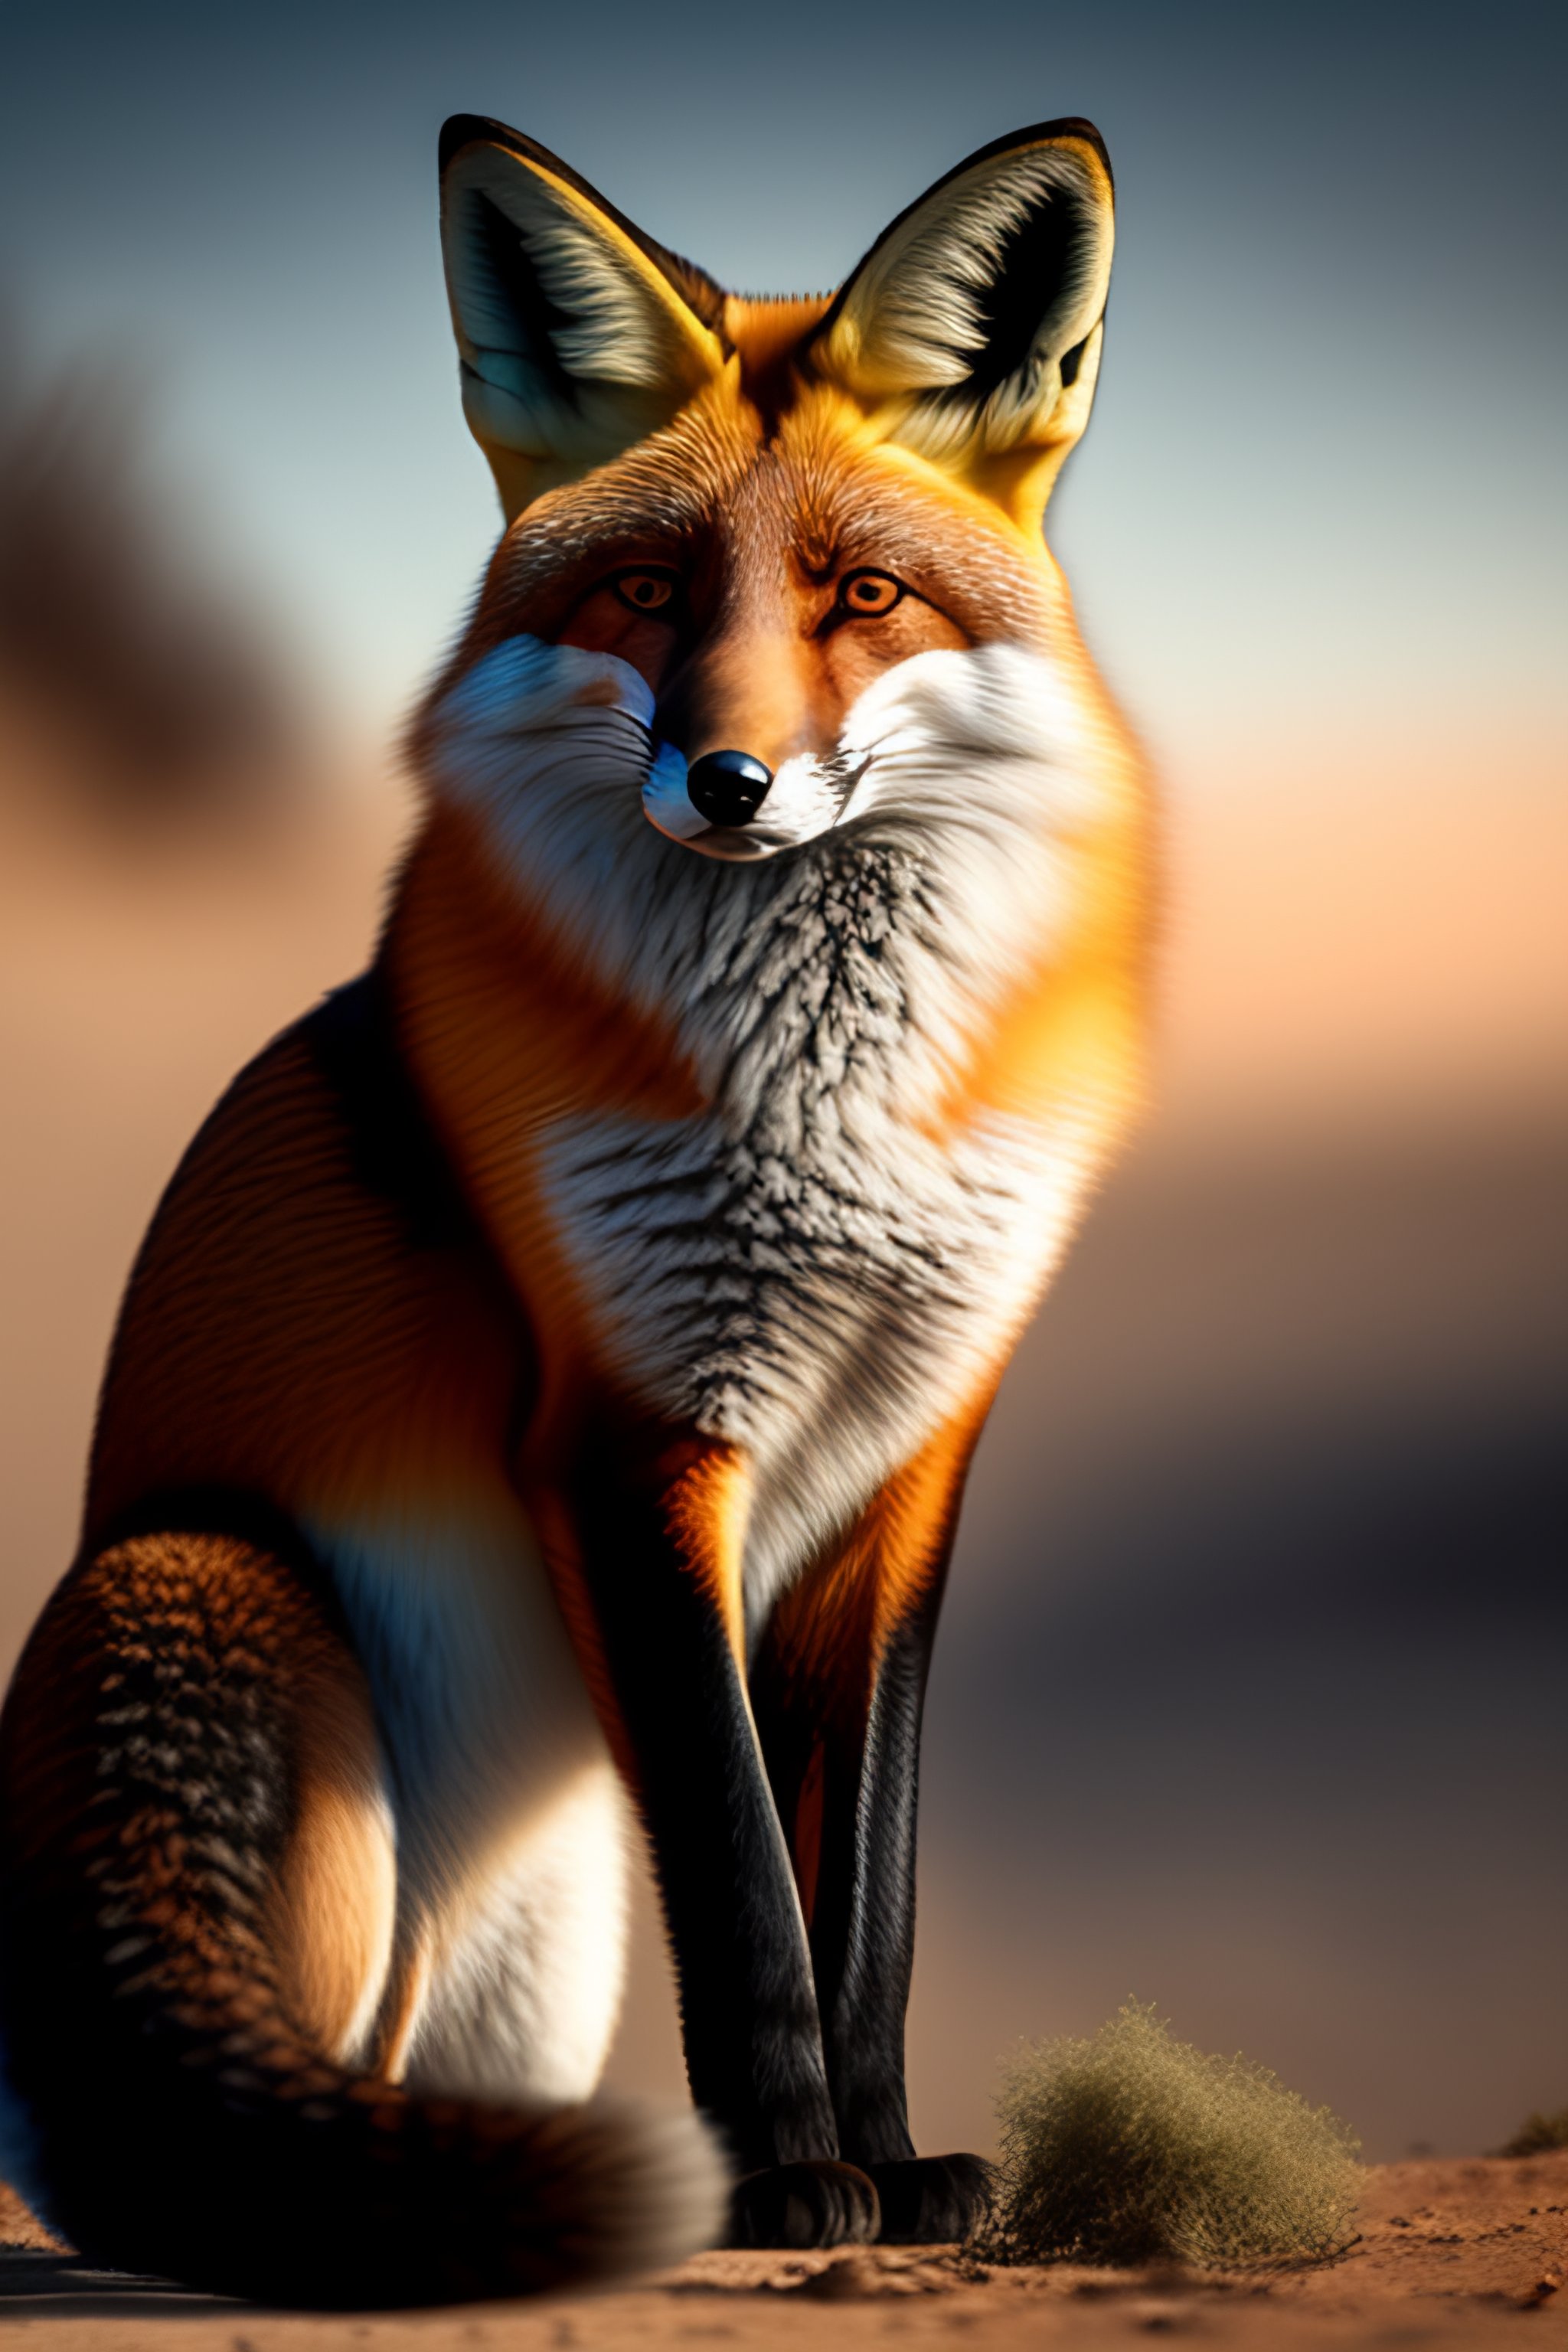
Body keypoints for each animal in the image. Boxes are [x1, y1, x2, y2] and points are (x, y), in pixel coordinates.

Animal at [0, 114, 1148, 2305]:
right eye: (644, 592)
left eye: (859, 594)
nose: (728, 781)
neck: (819, 1124)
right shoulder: (627, 1436)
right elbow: (745, 1886)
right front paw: (784, 2177)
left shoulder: (909, 1462)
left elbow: (859, 1900)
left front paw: (886, 2159)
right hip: (216, 1582)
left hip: (531, 1945)